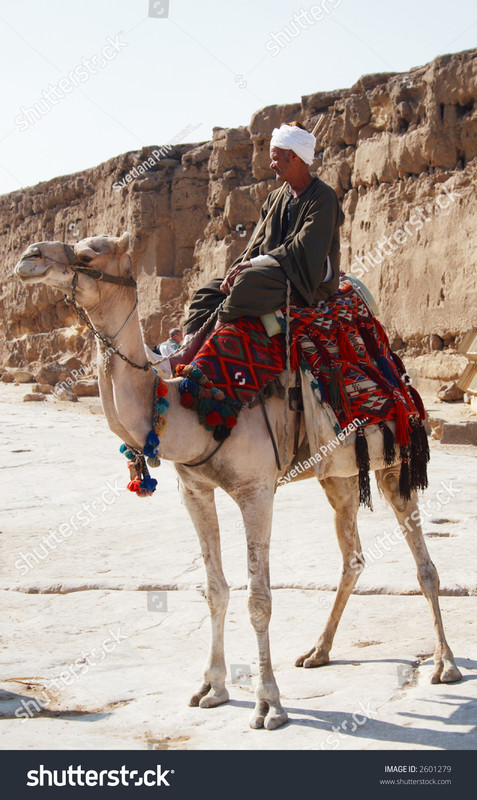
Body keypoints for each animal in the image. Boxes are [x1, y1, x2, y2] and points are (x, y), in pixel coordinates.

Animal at [14, 232, 462, 730]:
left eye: (88, 253)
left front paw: (269, 704)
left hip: (394, 457)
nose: (29, 257)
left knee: (423, 563)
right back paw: (318, 651)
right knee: (352, 557)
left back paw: (445, 663)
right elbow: (215, 590)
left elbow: (259, 599)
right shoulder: (194, 489)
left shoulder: (256, 491)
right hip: (337, 472)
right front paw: (211, 688)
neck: (190, 404)